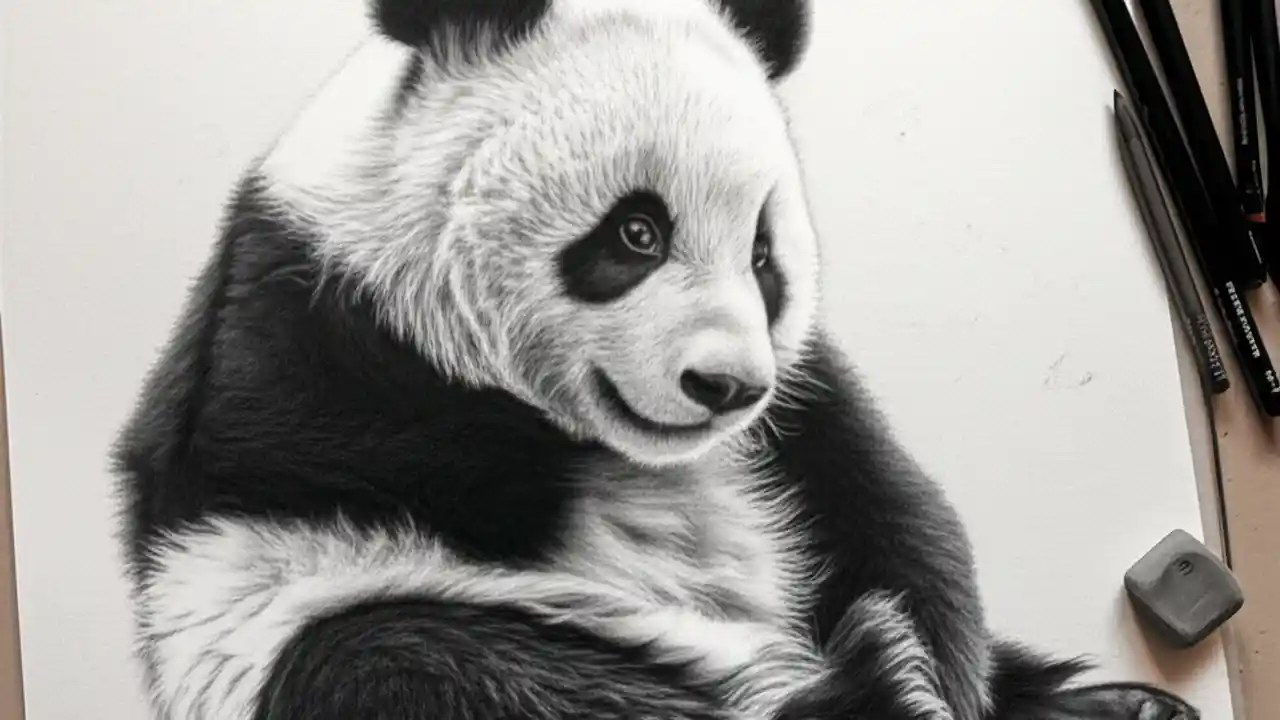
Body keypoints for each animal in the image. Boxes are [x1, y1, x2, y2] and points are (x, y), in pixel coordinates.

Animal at [111, 1, 1201, 718]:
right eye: (635, 232)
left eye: (763, 254)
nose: (722, 388)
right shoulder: (302, 340)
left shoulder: (800, 410)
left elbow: (892, 512)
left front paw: (939, 668)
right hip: (342, 632)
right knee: (426, 669)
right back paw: (865, 688)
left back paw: (1105, 704)